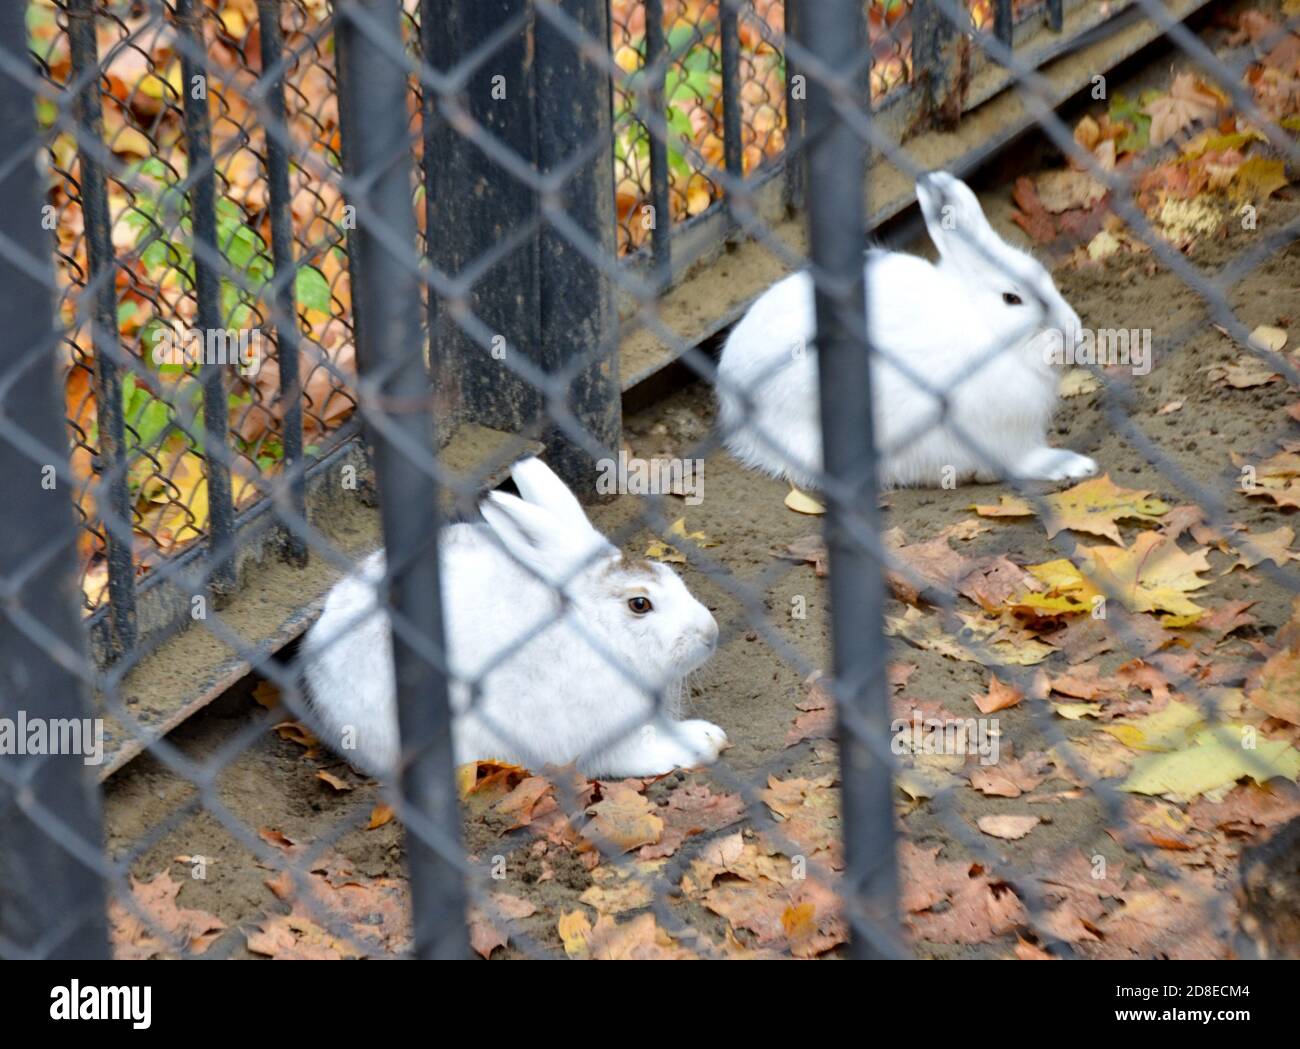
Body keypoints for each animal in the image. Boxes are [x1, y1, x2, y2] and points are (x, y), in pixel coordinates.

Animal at [716, 171, 1098, 491]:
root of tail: (731, 401)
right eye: (1011, 298)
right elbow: (1025, 461)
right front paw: (1074, 465)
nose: (1073, 334)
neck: (982, 326)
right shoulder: (997, 436)